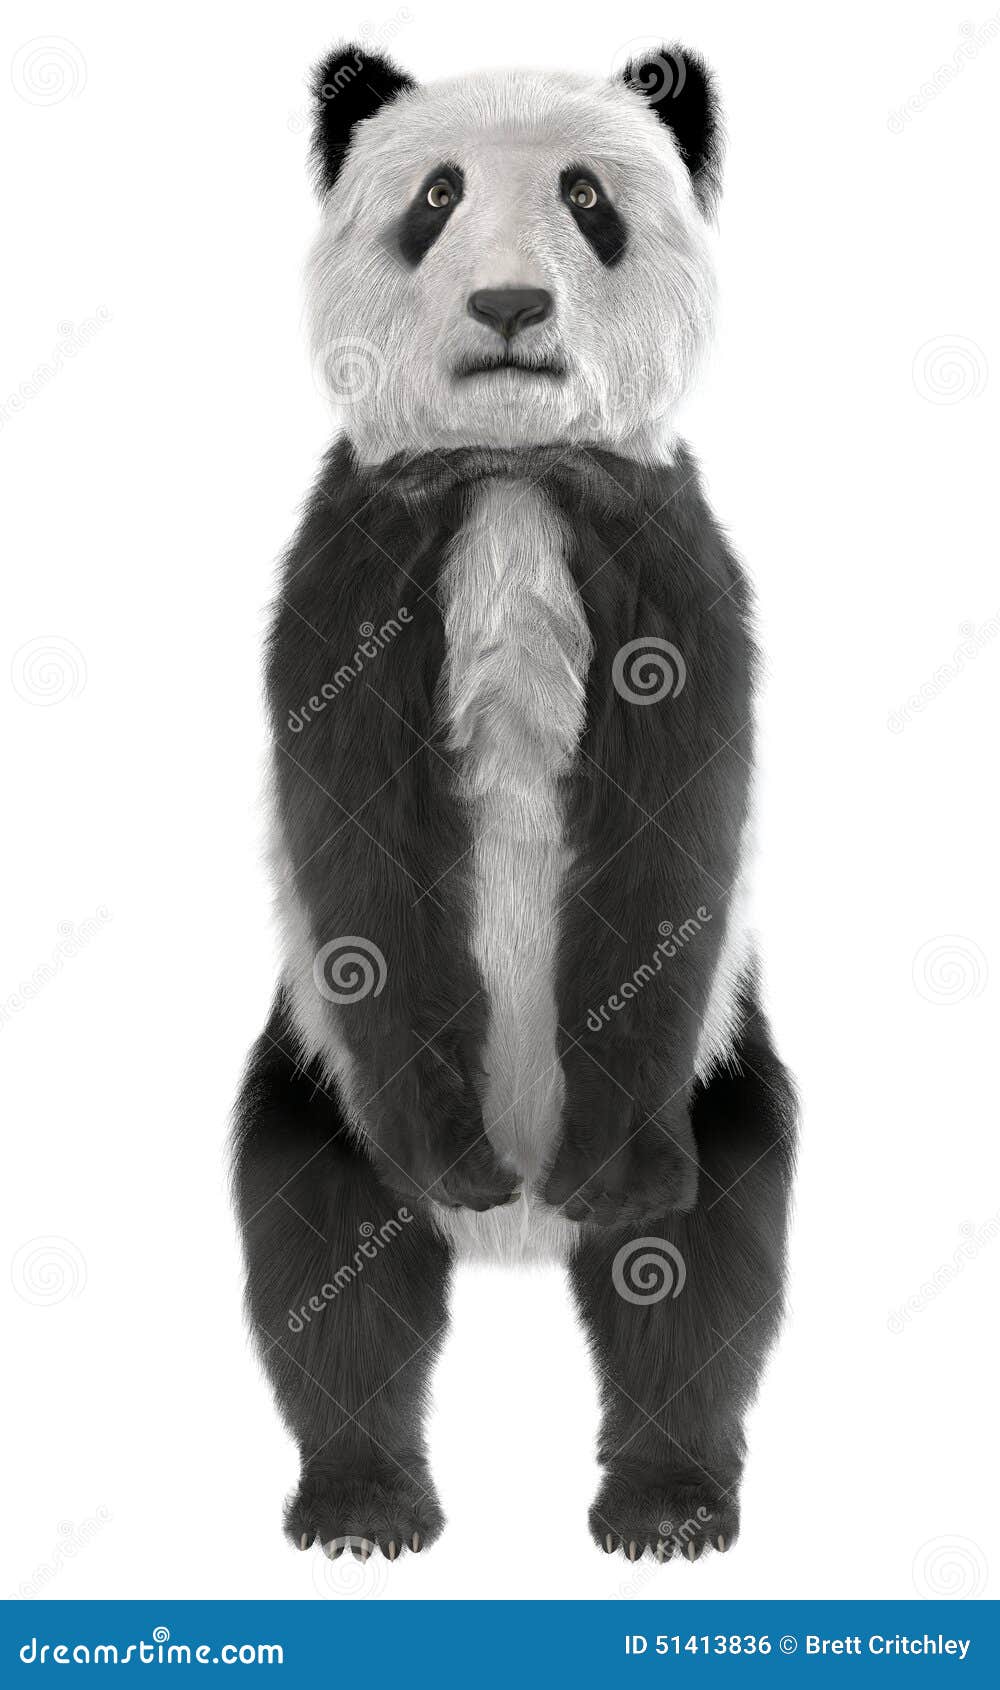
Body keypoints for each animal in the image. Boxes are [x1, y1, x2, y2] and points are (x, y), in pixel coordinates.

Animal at [232, 40, 797, 1565]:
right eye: (435, 195)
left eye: (588, 199)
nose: (508, 306)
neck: (507, 474)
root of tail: (519, 1249)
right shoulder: (365, 545)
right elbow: (356, 837)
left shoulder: (655, 543)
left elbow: (674, 836)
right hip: (320, 1080)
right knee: (322, 1262)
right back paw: (363, 1501)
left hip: (715, 1075)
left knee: (708, 1269)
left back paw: (667, 1500)